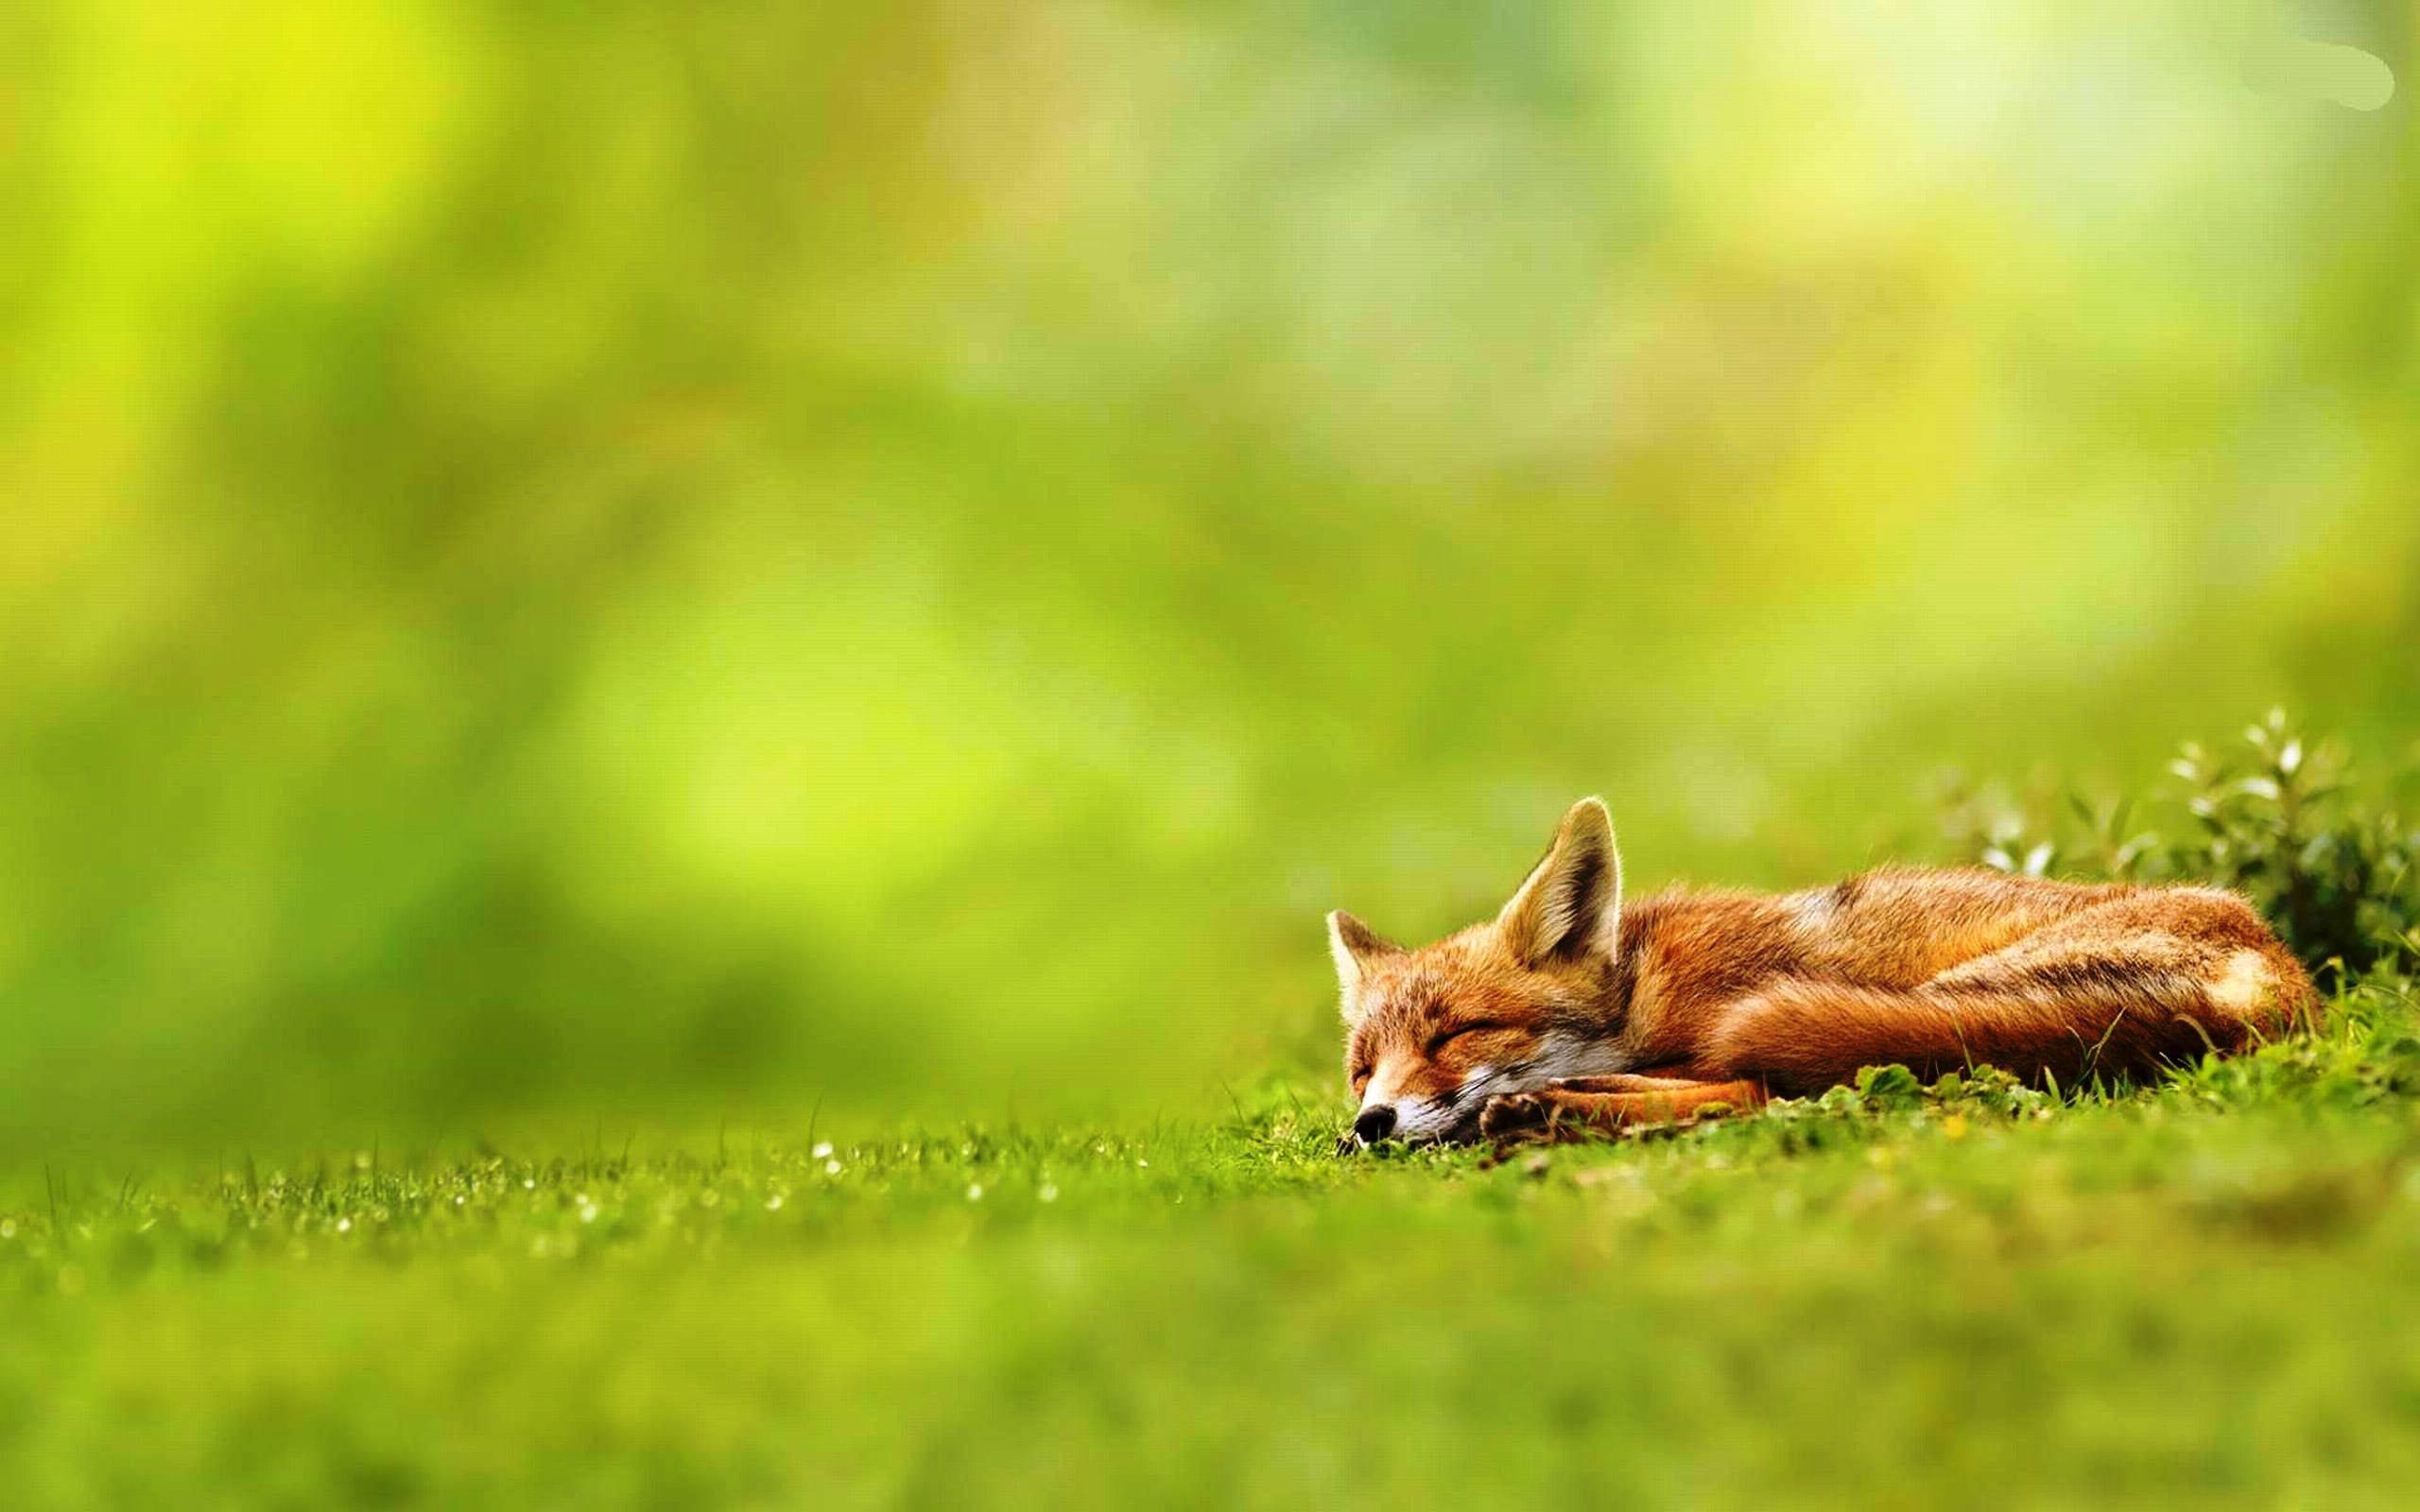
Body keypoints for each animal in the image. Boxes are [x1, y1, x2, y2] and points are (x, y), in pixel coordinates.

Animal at [1331, 797, 2317, 1146]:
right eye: (1359, 1070)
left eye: (1457, 1033)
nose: (1371, 1121)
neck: (1644, 990)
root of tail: (2280, 976)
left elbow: (1737, 1086)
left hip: (1941, 1006)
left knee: (1769, 1093)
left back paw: (1550, 1110)